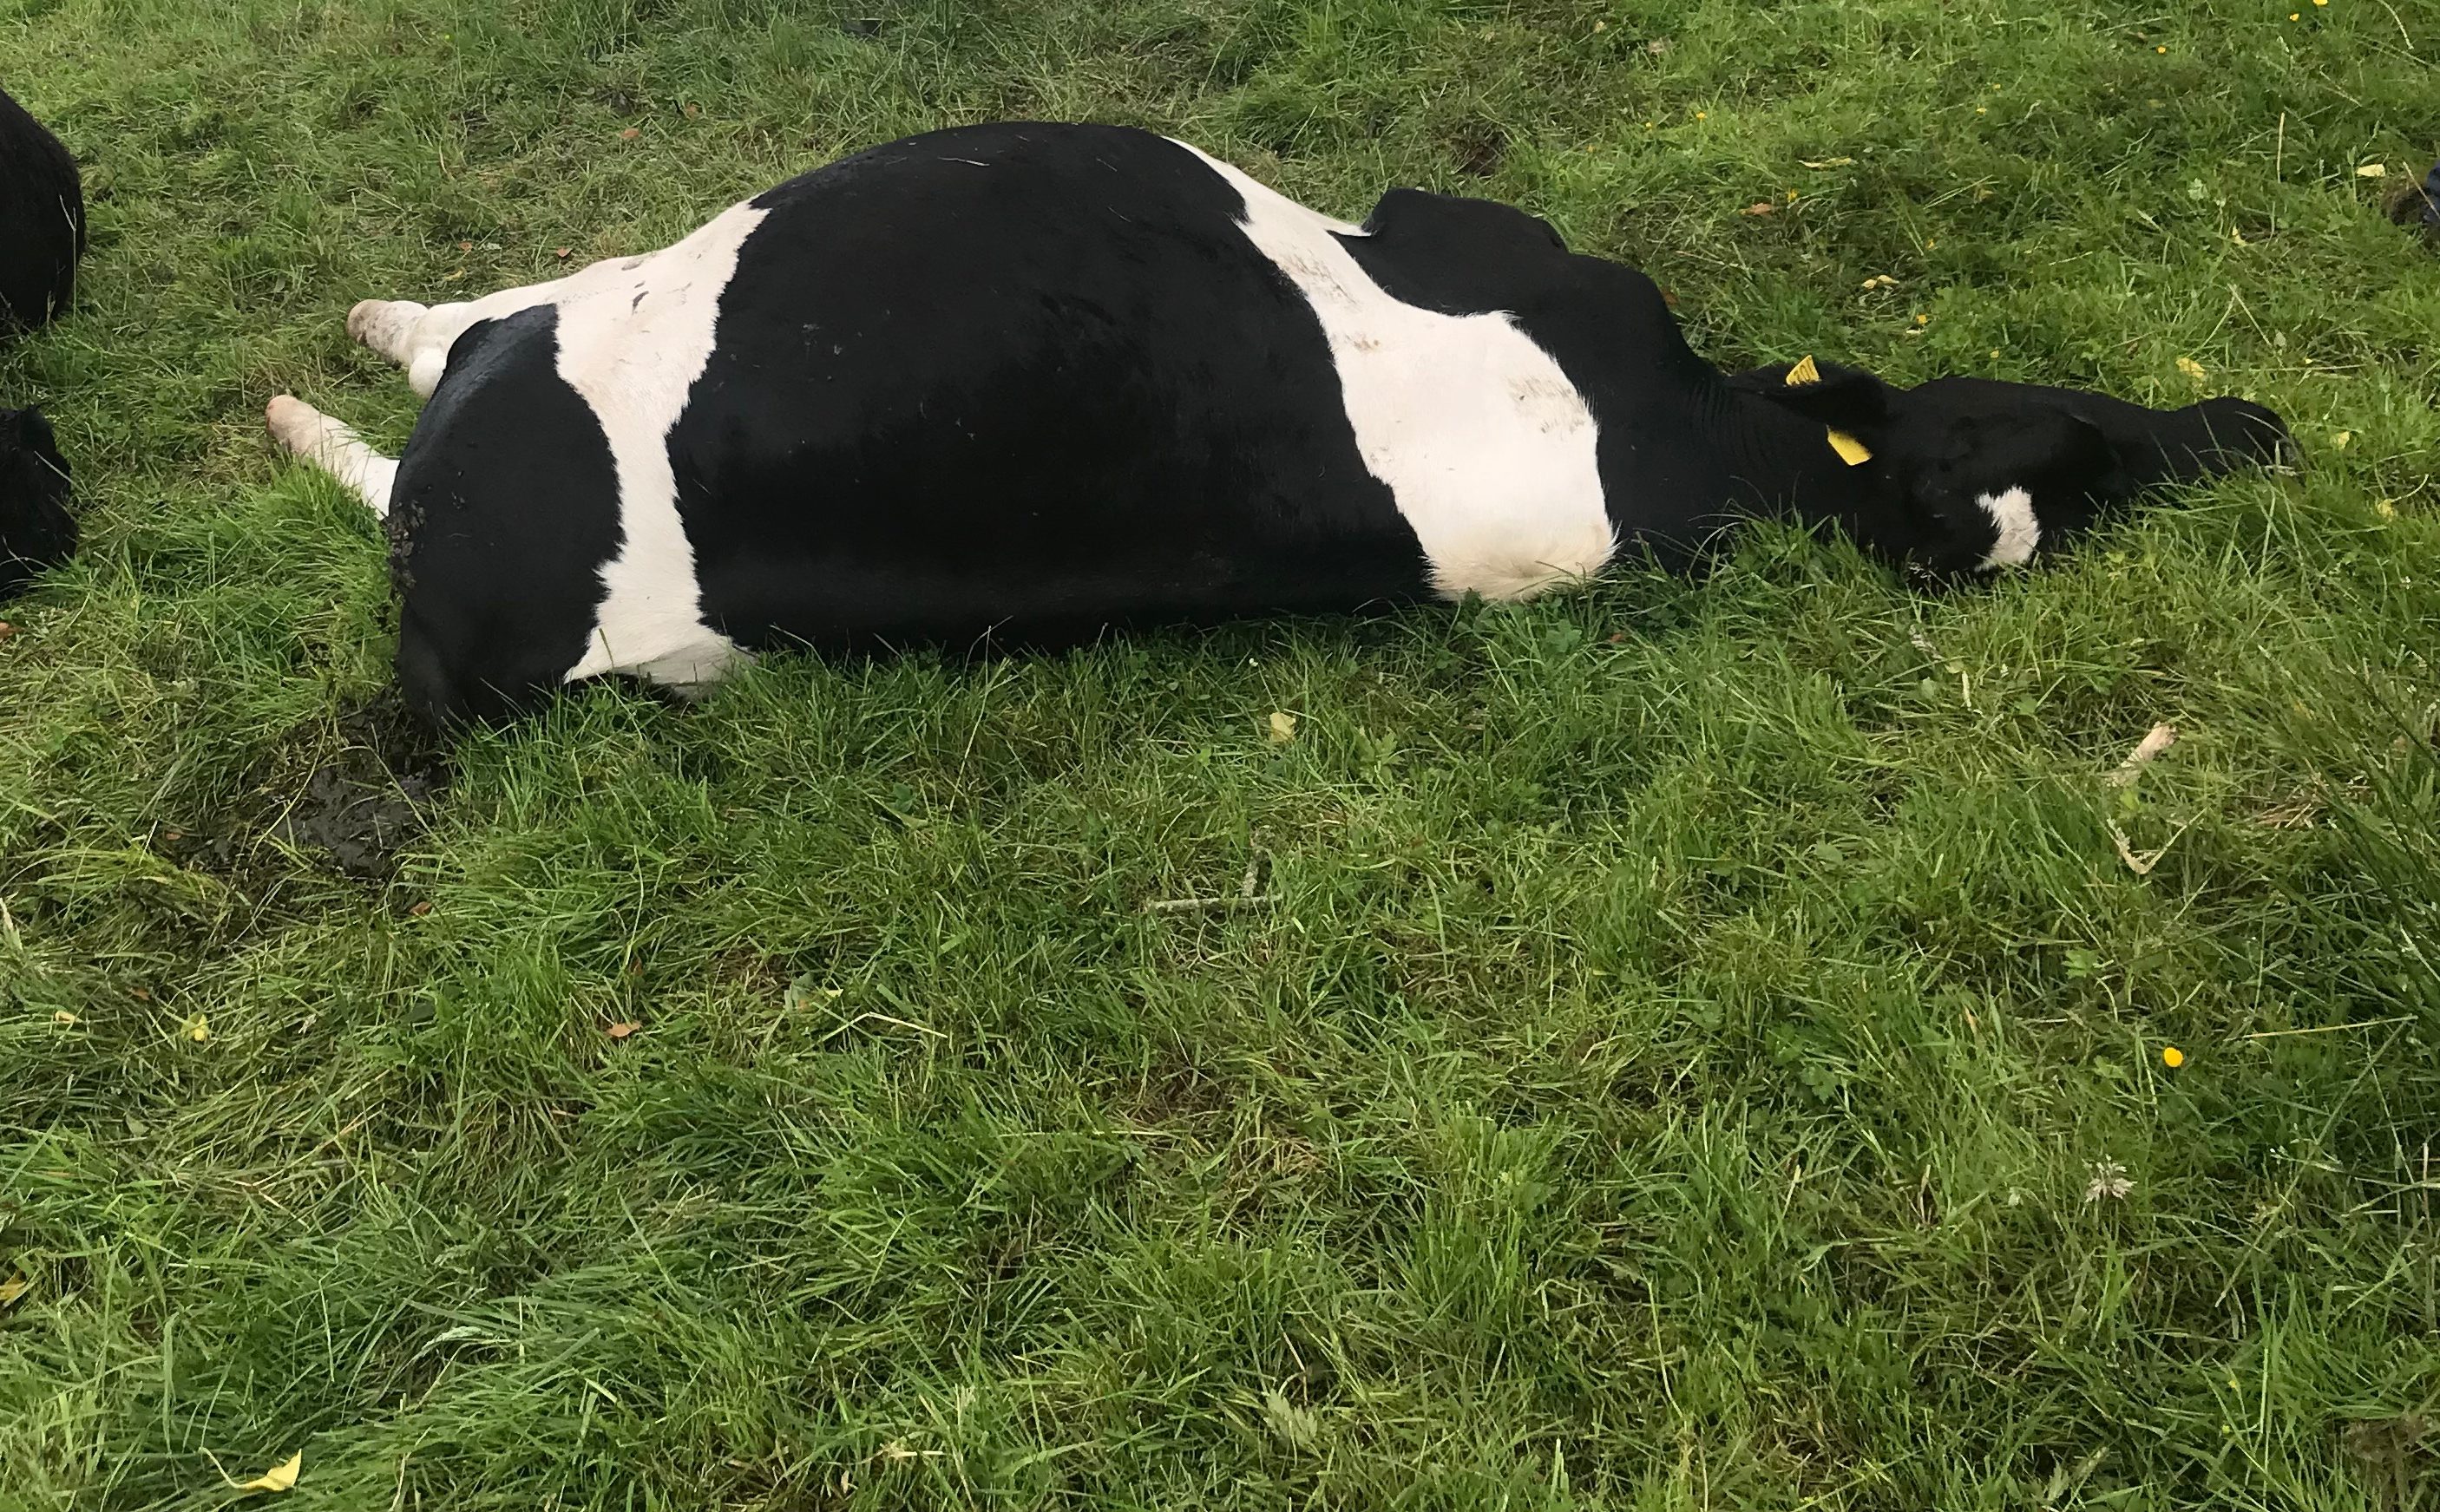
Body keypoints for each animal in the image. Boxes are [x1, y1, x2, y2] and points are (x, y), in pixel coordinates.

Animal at [266, 122, 2290, 726]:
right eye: (2065, 425)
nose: (2249, 421)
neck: (1688, 443)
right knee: (479, 328)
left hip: (539, 466)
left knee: (462, 370)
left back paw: (323, 391)